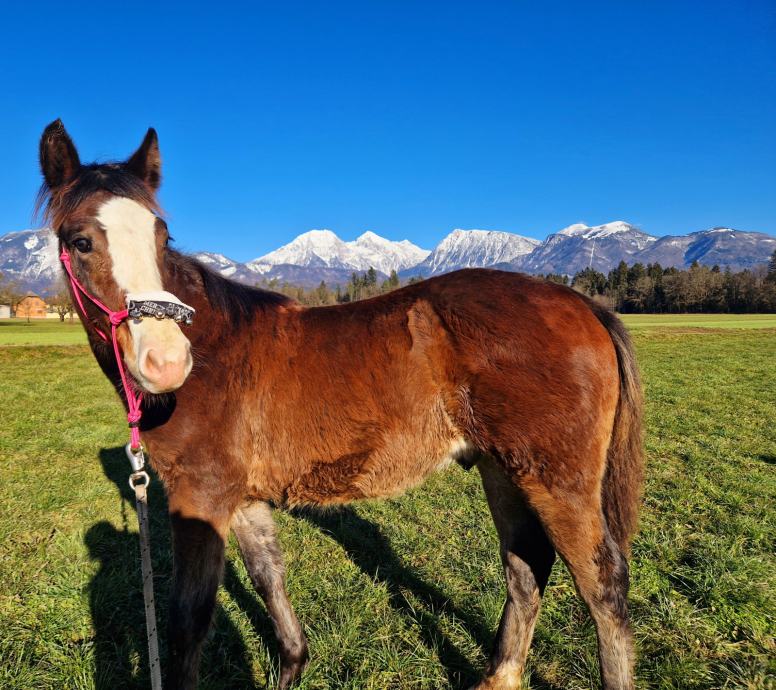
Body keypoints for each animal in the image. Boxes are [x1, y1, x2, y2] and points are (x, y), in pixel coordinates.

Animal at [38, 119, 643, 690]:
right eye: (80, 241)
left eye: (161, 239)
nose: (166, 360)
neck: (215, 349)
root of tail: (583, 304)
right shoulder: (241, 497)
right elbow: (269, 577)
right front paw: (292, 667)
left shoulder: (199, 496)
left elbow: (188, 623)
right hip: (503, 469)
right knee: (526, 567)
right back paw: (498, 677)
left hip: (557, 480)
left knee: (602, 585)